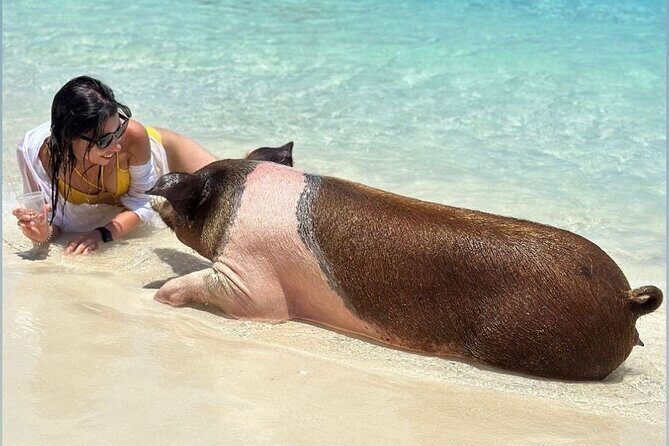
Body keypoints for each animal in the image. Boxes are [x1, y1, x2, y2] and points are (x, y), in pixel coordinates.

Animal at [146, 143, 662, 381]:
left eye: (189, 193)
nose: (156, 195)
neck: (238, 200)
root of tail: (626, 297)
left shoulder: (253, 284)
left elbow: (233, 294)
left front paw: (160, 296)